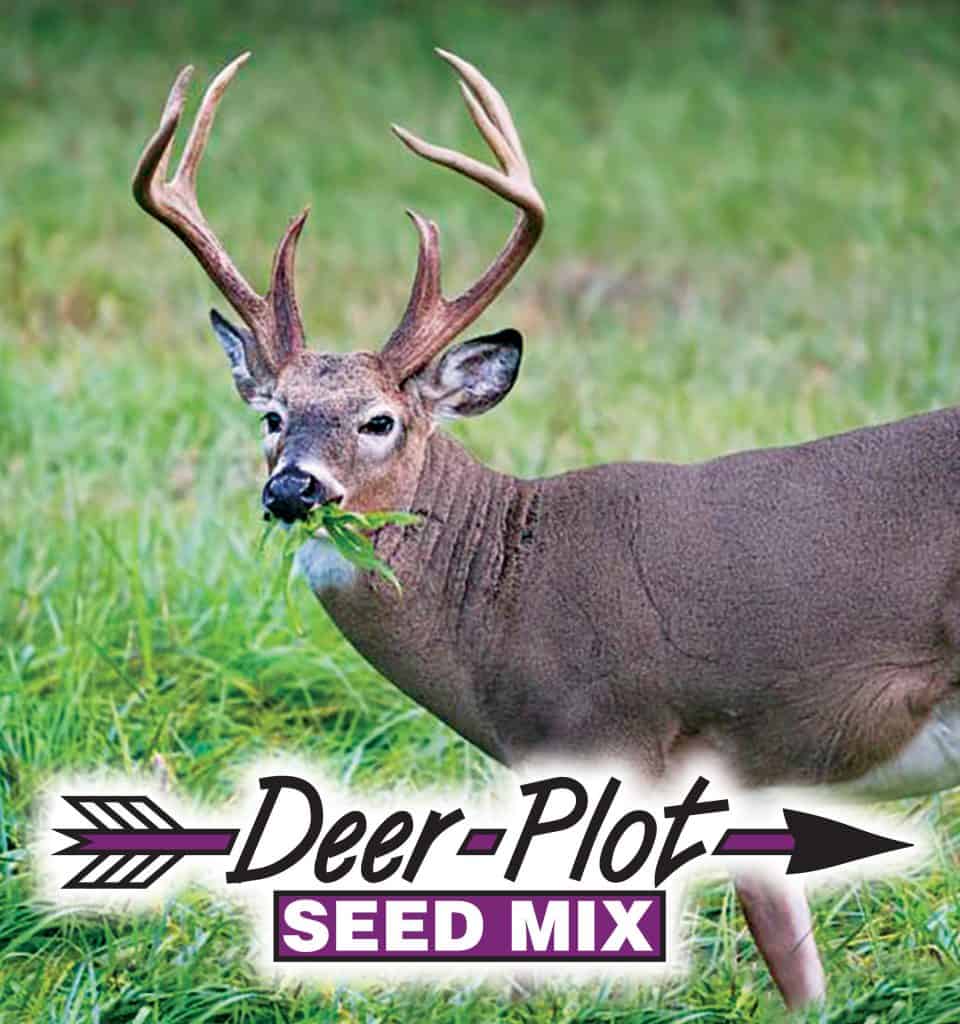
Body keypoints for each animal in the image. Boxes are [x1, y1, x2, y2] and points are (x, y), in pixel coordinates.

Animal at [132, 50, 960, 1010]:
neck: (506, 594)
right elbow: (798, 970)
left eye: (380, 421)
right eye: (272, 414)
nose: (294, 488)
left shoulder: (616, 733)